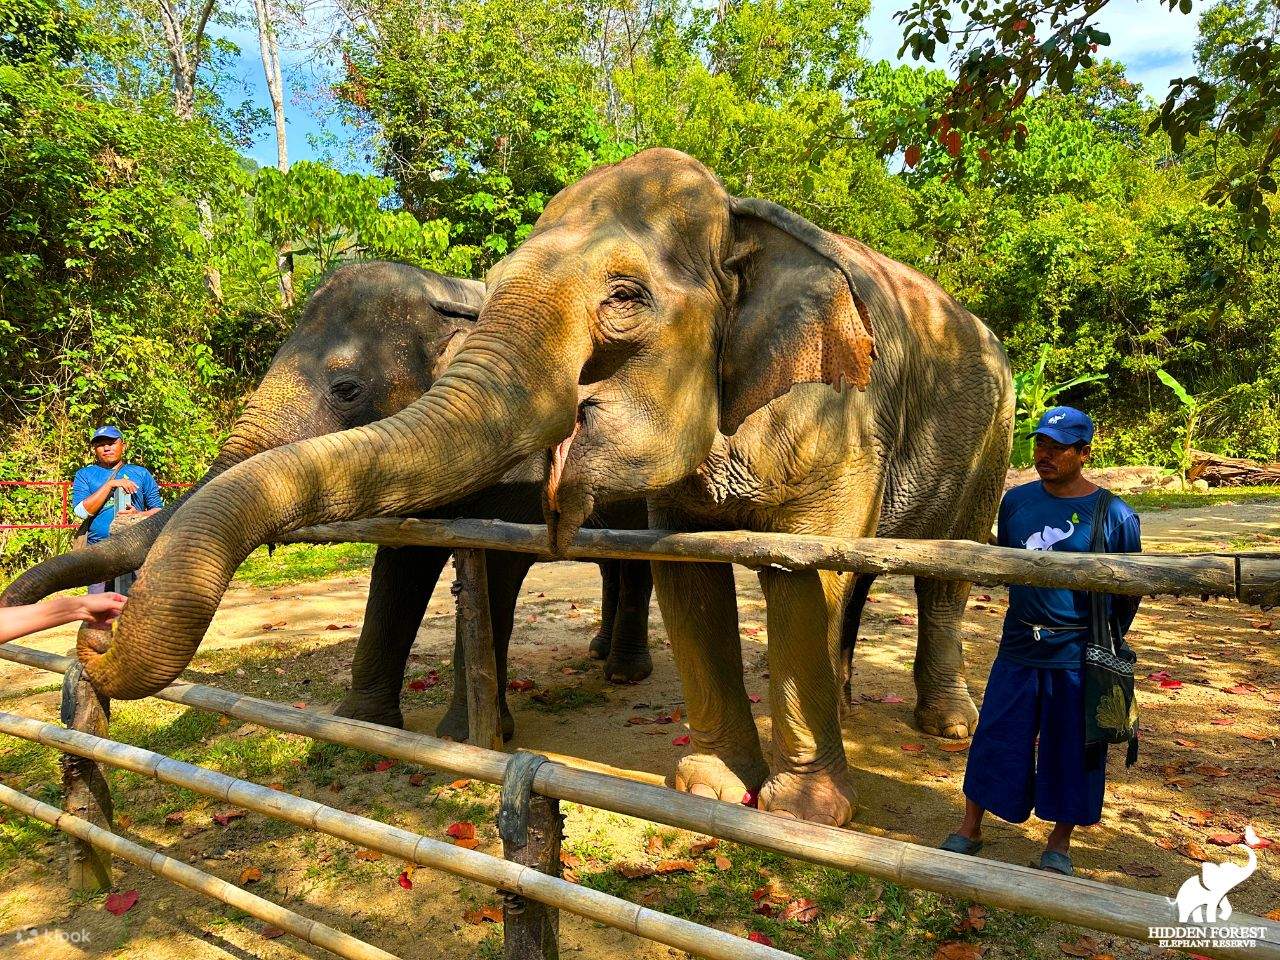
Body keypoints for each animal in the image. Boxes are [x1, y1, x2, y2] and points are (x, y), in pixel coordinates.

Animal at [2, 261, 653, 738]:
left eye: (346, 389)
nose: (95, 633)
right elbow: (399, 567)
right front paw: (362, 724)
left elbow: (496, 570)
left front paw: (463, 737)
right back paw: (601, 655)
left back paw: (625, 674)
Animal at [74, 149, 1013, 826]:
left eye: (344, 388)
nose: (93, 631)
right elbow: (665, 570)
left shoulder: (838, 410)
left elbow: (795, 574)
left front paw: (801, 815)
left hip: (991, 443)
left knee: (941, 574)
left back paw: (943, 726)